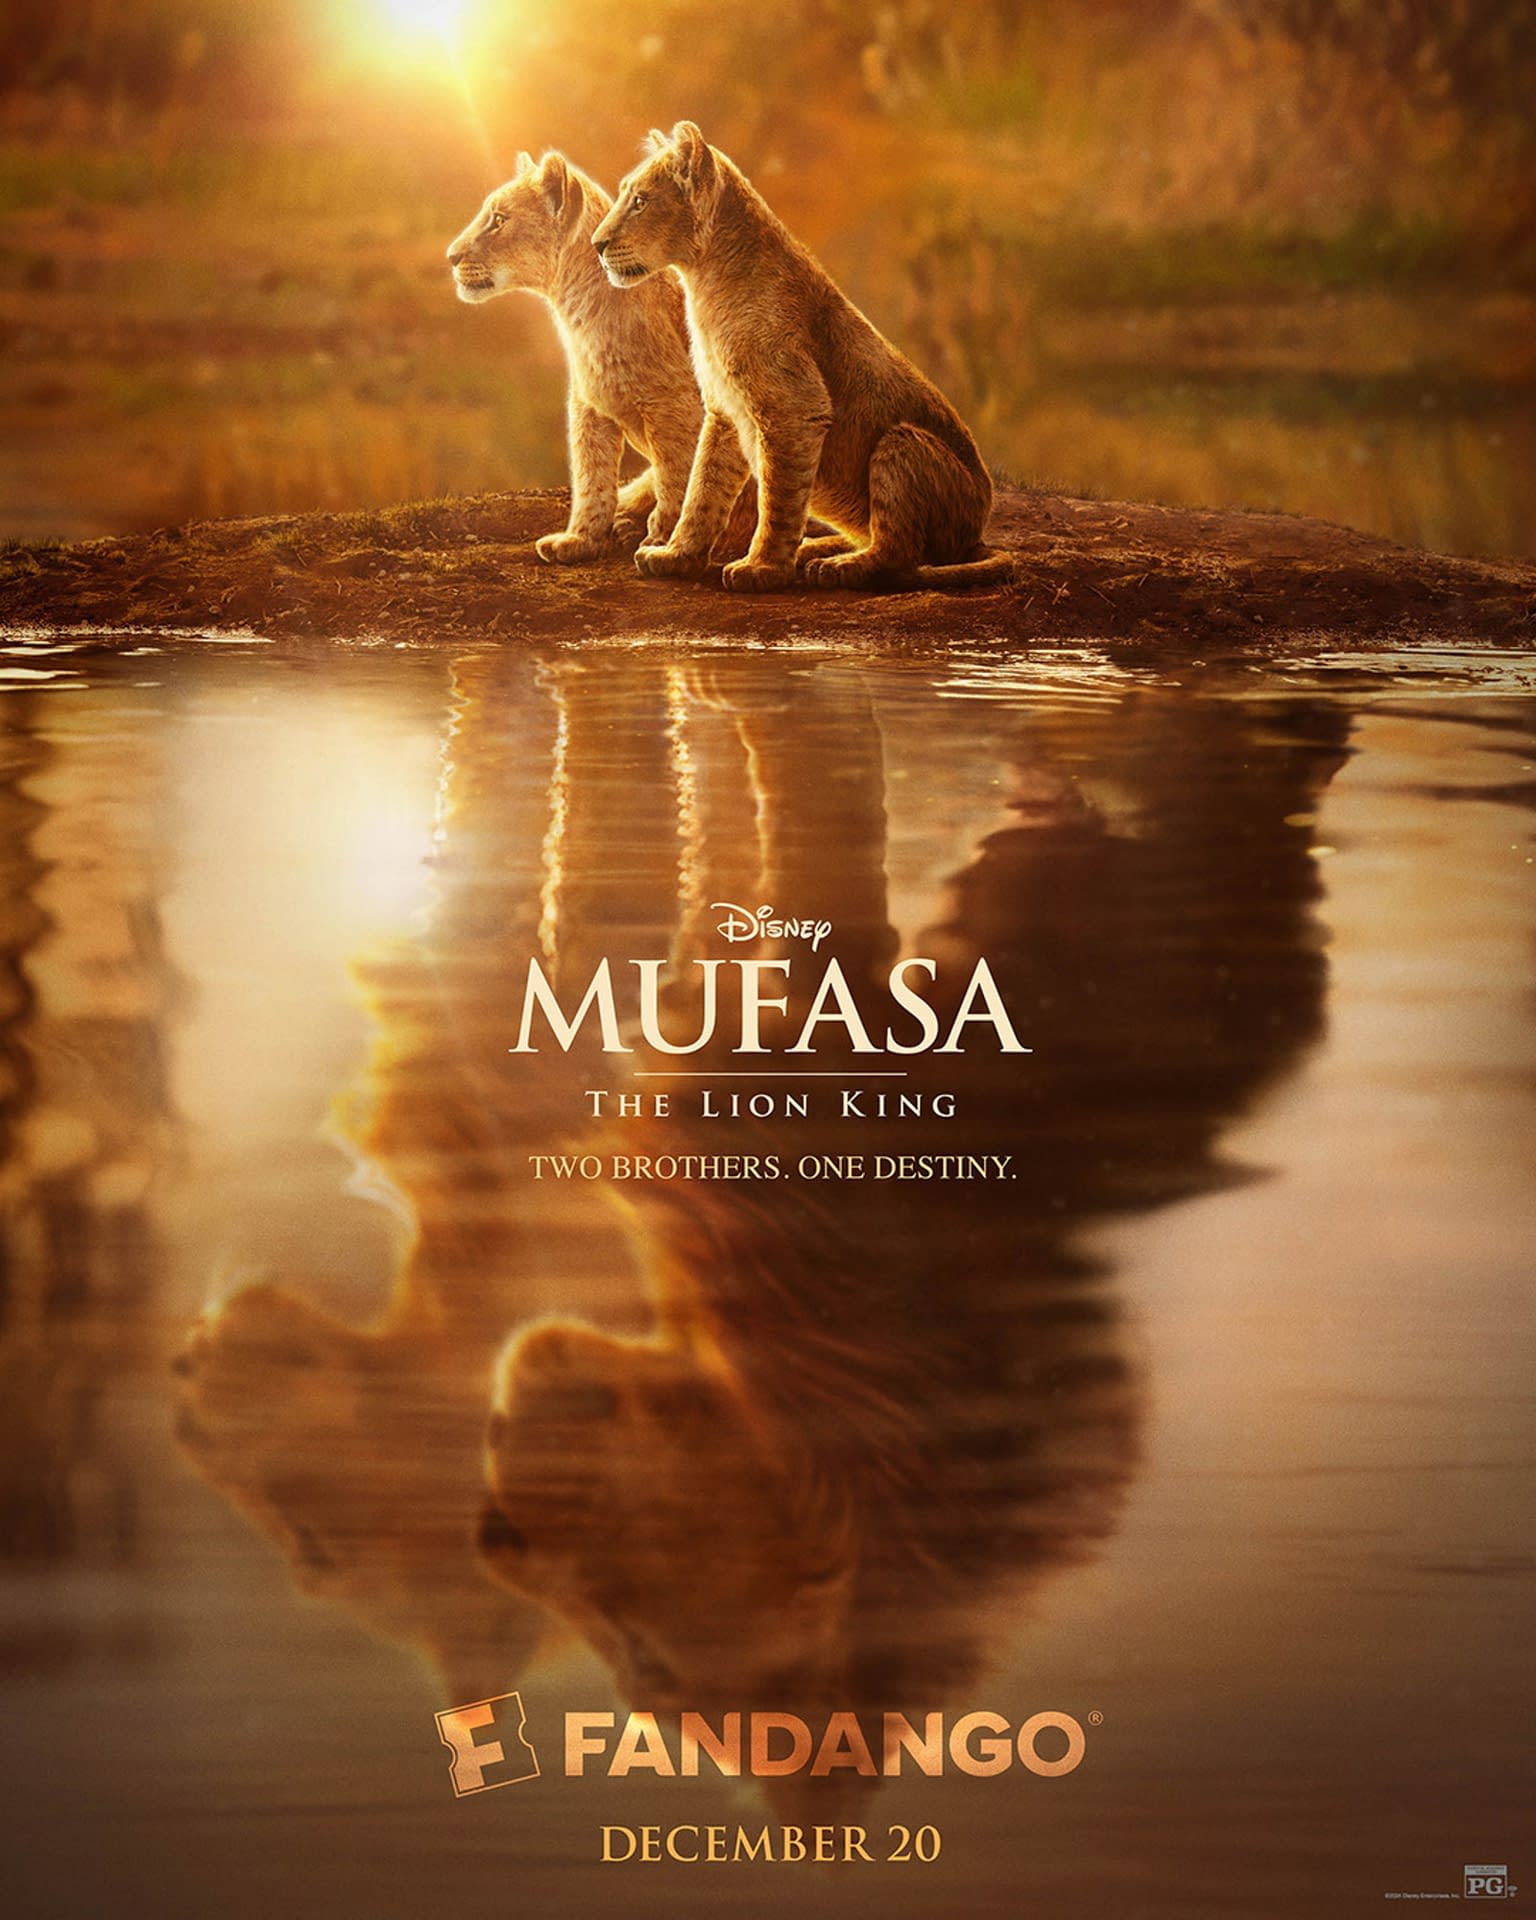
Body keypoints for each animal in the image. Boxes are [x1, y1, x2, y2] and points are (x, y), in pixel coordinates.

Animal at [447, 150, 703, 563]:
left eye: (499, 220)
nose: (450, 256)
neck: (578, 312)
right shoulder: (588, 408)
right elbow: (590, 476)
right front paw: (579, 540)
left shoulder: (672, 407)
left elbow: (679, 476)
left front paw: (664, 542)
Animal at [590, 121, 1015, 593]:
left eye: (640, 201)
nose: (596, 244)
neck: (703, 282)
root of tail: (978, 528)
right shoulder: (723, 412)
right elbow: (703, 490)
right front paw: (676, 556)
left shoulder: (793, 410)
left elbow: (776, 498)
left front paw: (762, 569)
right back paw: (818, 549)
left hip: (901, 443)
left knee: (900, 554)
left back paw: (839, 566)